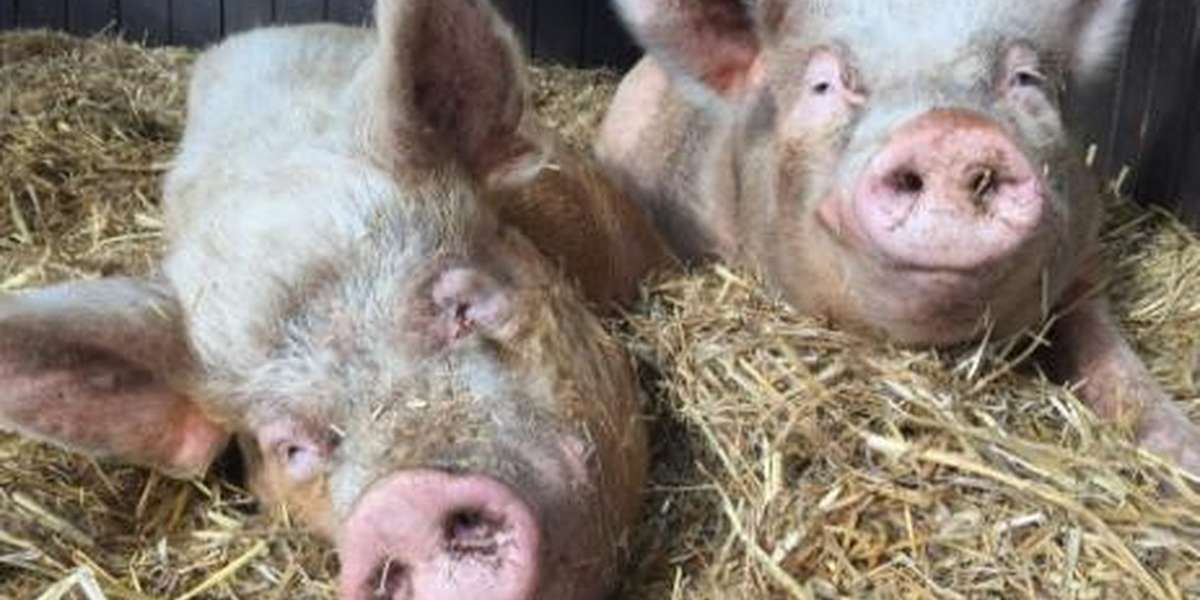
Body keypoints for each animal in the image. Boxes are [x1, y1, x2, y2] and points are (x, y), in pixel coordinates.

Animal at [597, 0, 1200, 472]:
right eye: (823, 84)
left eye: (1026, 79)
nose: (952, 131)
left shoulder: (1084, 261)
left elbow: (1111, 357)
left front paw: (1185, 458)